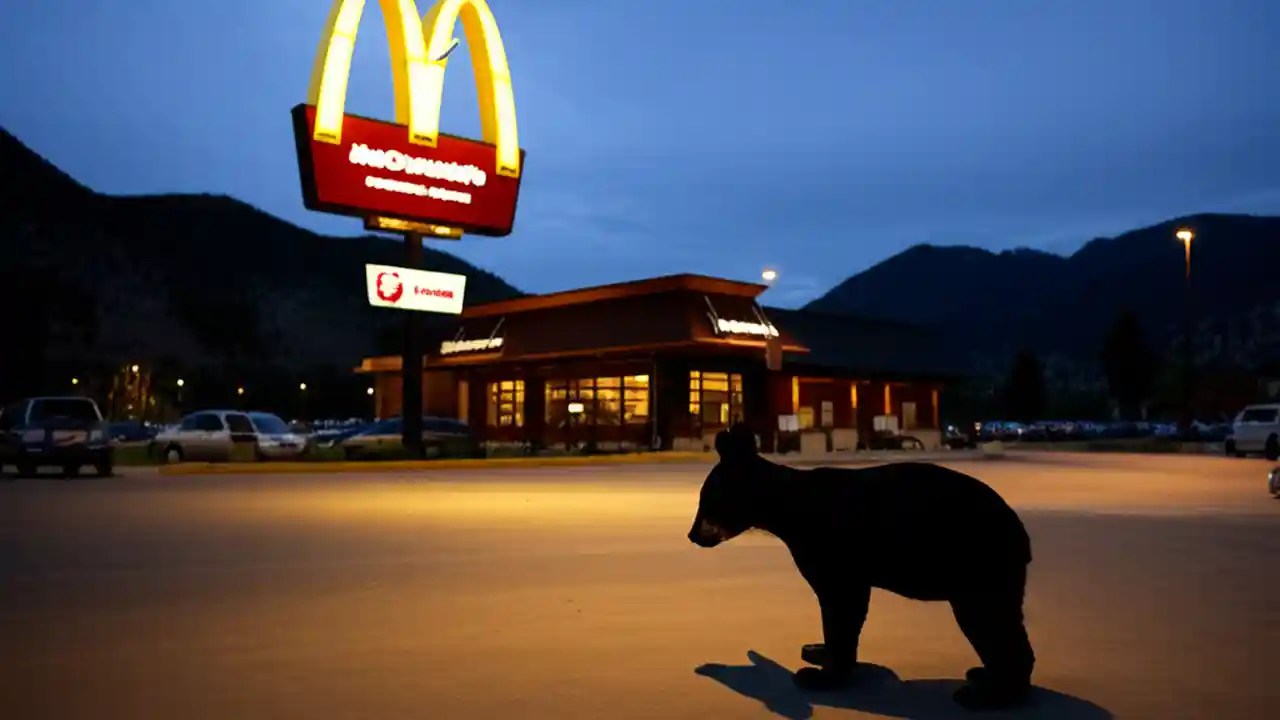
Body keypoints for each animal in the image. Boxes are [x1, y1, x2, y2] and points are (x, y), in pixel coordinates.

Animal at [687, 423, 1035, 712]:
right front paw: (818, 650)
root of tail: (1020, 531)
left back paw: (990, 695)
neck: (789, 507)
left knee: (991, 623)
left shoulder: (834, 556)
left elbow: (842, 610)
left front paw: (822, 676)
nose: (692, 535)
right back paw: (985, 675)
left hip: (978, 568)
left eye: (707, 500)